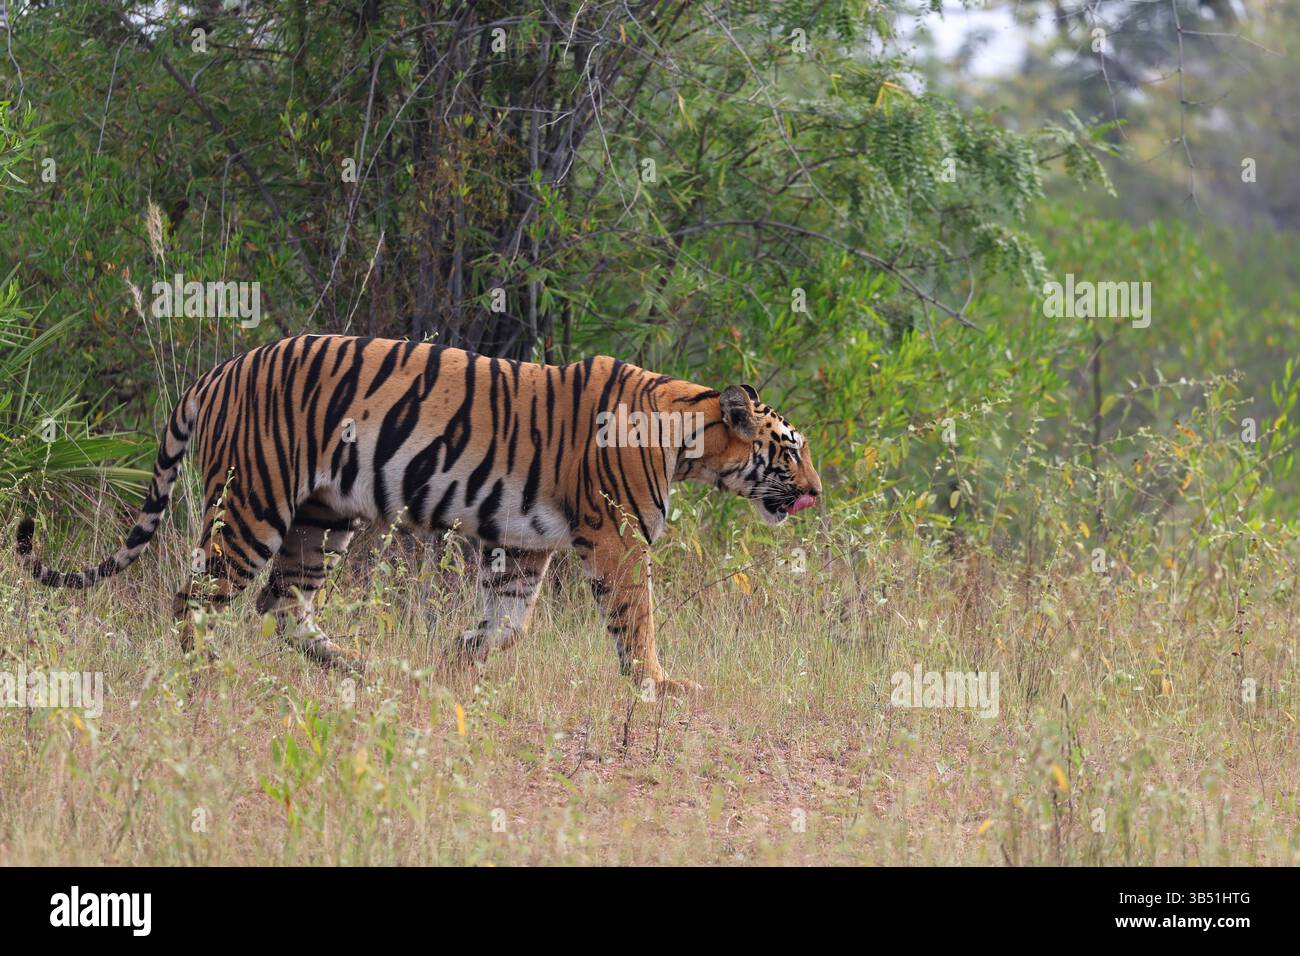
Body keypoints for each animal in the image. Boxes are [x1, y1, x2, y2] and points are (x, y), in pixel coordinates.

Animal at [15, 334, 821, 697]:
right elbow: (637, 616)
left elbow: (506, 622)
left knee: (283, 603)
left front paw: (450, 666)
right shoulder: (617, 539)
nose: (818, 489)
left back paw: (361, 668)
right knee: (196, 595)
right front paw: (658, 685)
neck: (688, 438)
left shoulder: (526, 545)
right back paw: (204, 677)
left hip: (323, 518)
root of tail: (219, 370)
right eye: (790, 450)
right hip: (253, 506)